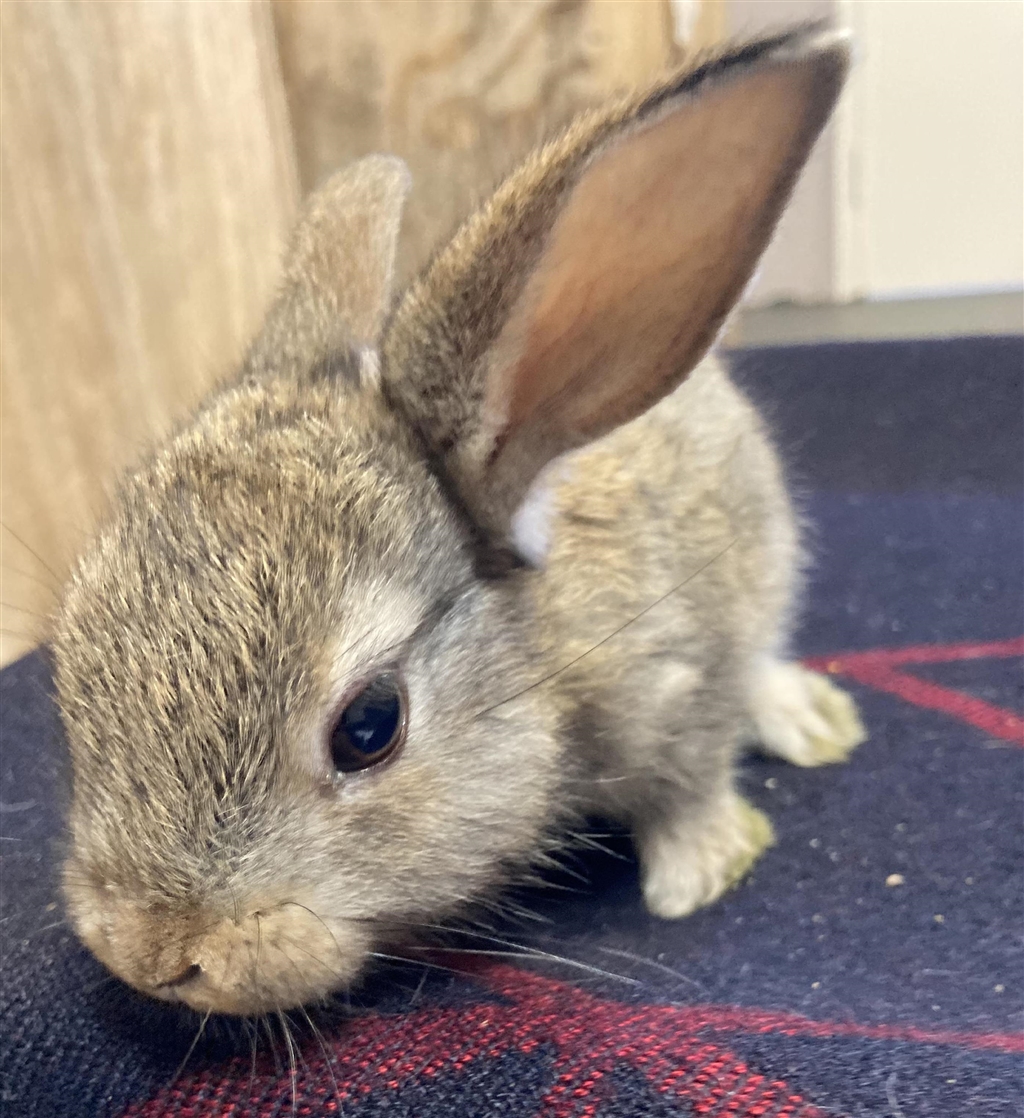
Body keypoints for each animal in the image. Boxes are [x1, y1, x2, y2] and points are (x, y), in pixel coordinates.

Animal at [52, 25, 865, 1018]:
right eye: (70, 668)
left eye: (369, 727)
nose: (153, 952)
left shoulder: (679, 682)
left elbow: (693, 778)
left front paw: (696, 874)